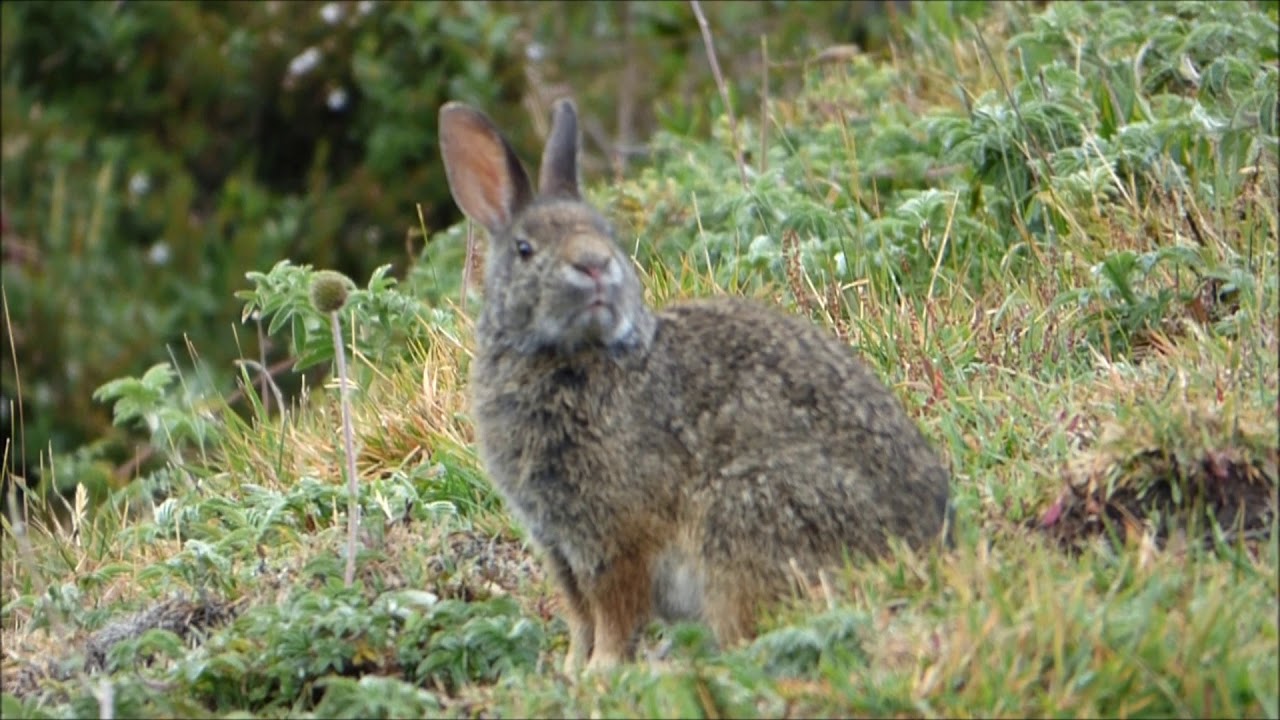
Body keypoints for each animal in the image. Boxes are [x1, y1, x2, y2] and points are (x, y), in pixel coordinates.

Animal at [438, 98, 952, 673]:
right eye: (525, 248)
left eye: (605, 232)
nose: (595, 265)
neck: (574, 357)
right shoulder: (561, 548)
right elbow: (580, 617)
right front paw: (572, 670)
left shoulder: (617, 537)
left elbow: (614, 615)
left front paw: (601, 673)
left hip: (746, 520)